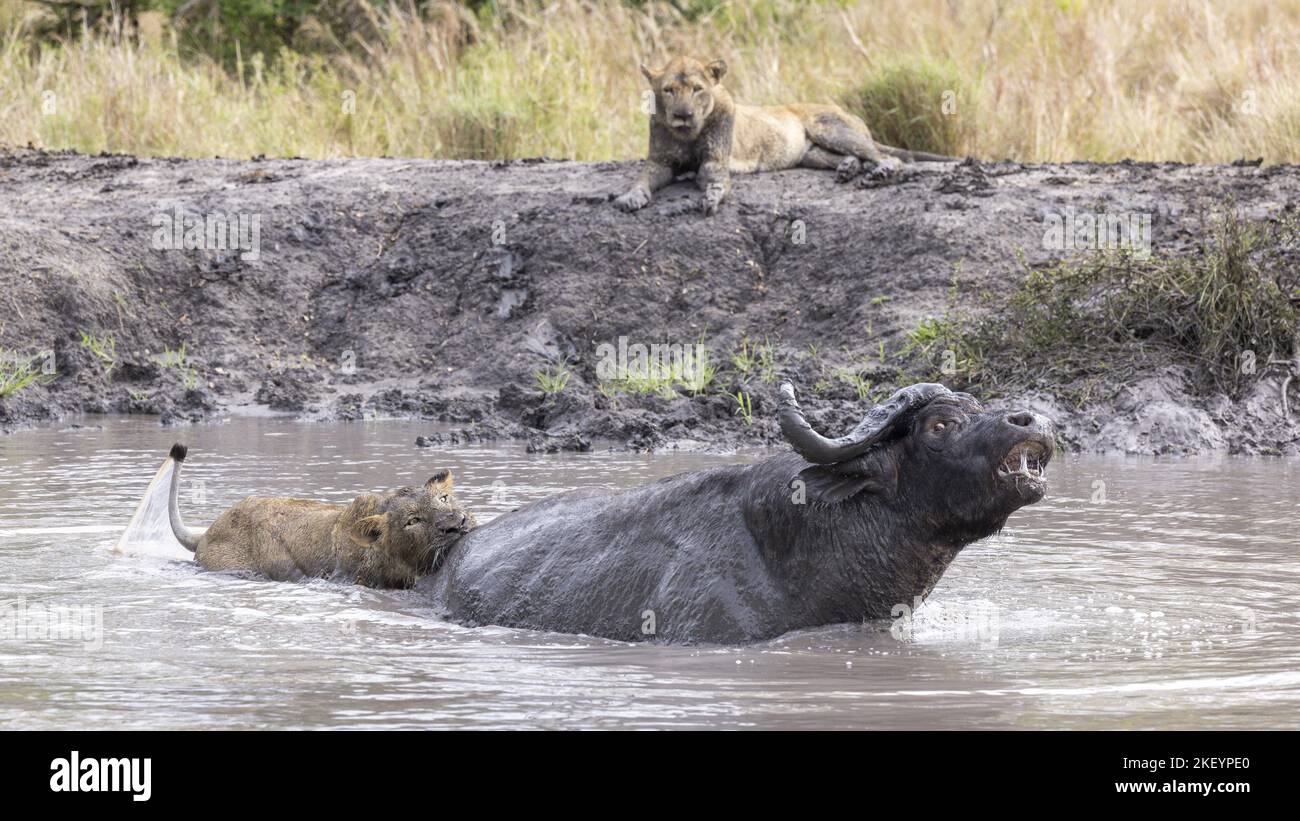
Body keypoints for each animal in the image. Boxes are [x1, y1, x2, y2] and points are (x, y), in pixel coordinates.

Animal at [614, 55, 955, 215]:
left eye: (697, 89)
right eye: (669, 90)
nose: (683, 115)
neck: (687, 134)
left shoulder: (715, 161)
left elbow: (711, 179)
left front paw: (712, 197)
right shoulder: (660, 162)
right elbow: (642, 179)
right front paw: (630, 197)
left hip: (831, 128)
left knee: (883, 156)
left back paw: (879, 171)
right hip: (812, 153)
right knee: (848, 158)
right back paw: (848, 169)